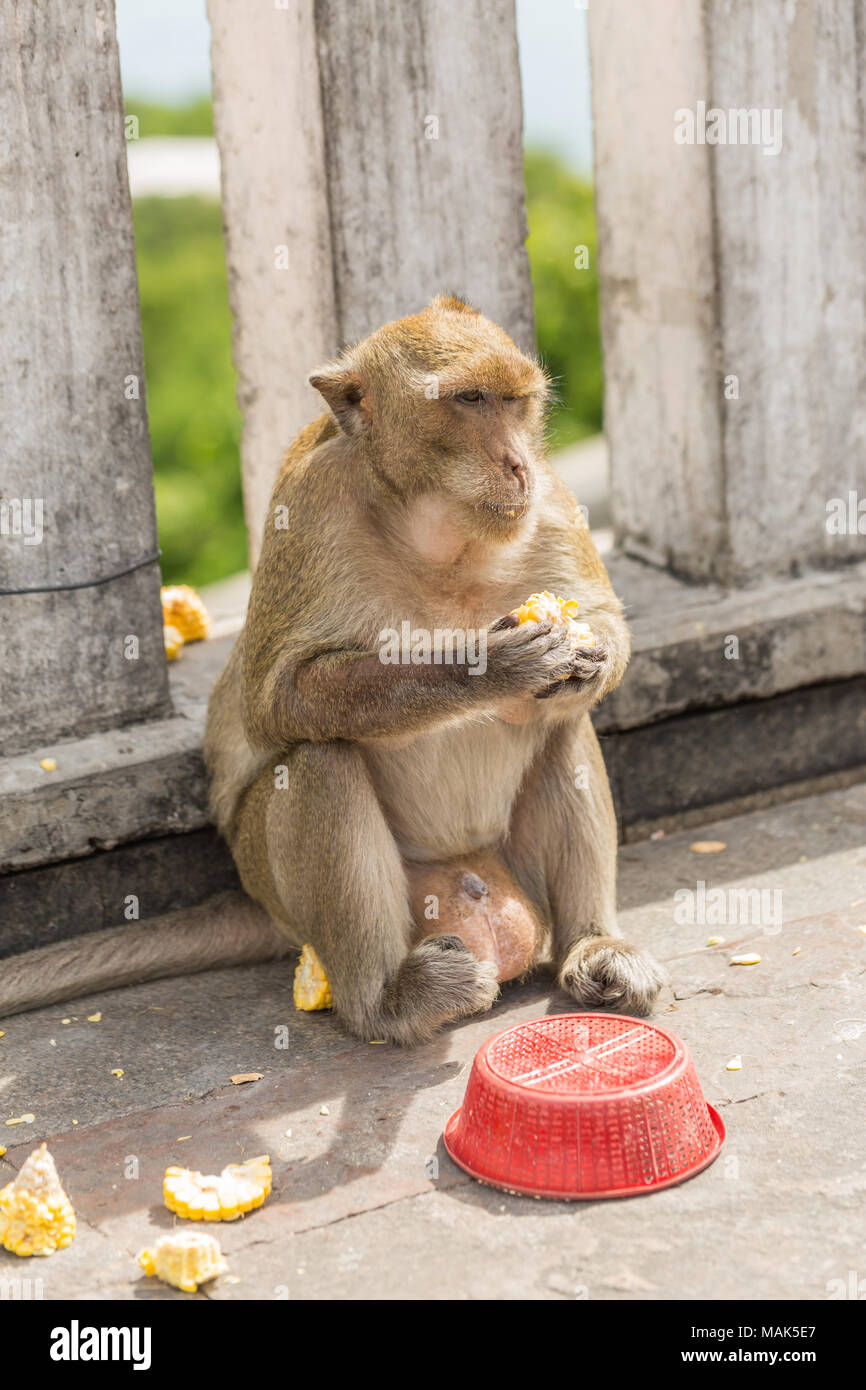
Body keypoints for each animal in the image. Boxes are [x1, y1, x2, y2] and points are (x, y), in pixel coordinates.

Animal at [0, 295, 665, 1033]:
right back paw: (387, 998)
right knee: (320, 760)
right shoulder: (310, 507)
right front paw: (488, 667)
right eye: (470, 400)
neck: (439, 540)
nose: (517, 465)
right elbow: (278, 699)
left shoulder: (549, 501)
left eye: (517, 403)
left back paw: (591, 947)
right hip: (286, 885)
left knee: (563, 725)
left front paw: (585, 656)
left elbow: (602, 623)